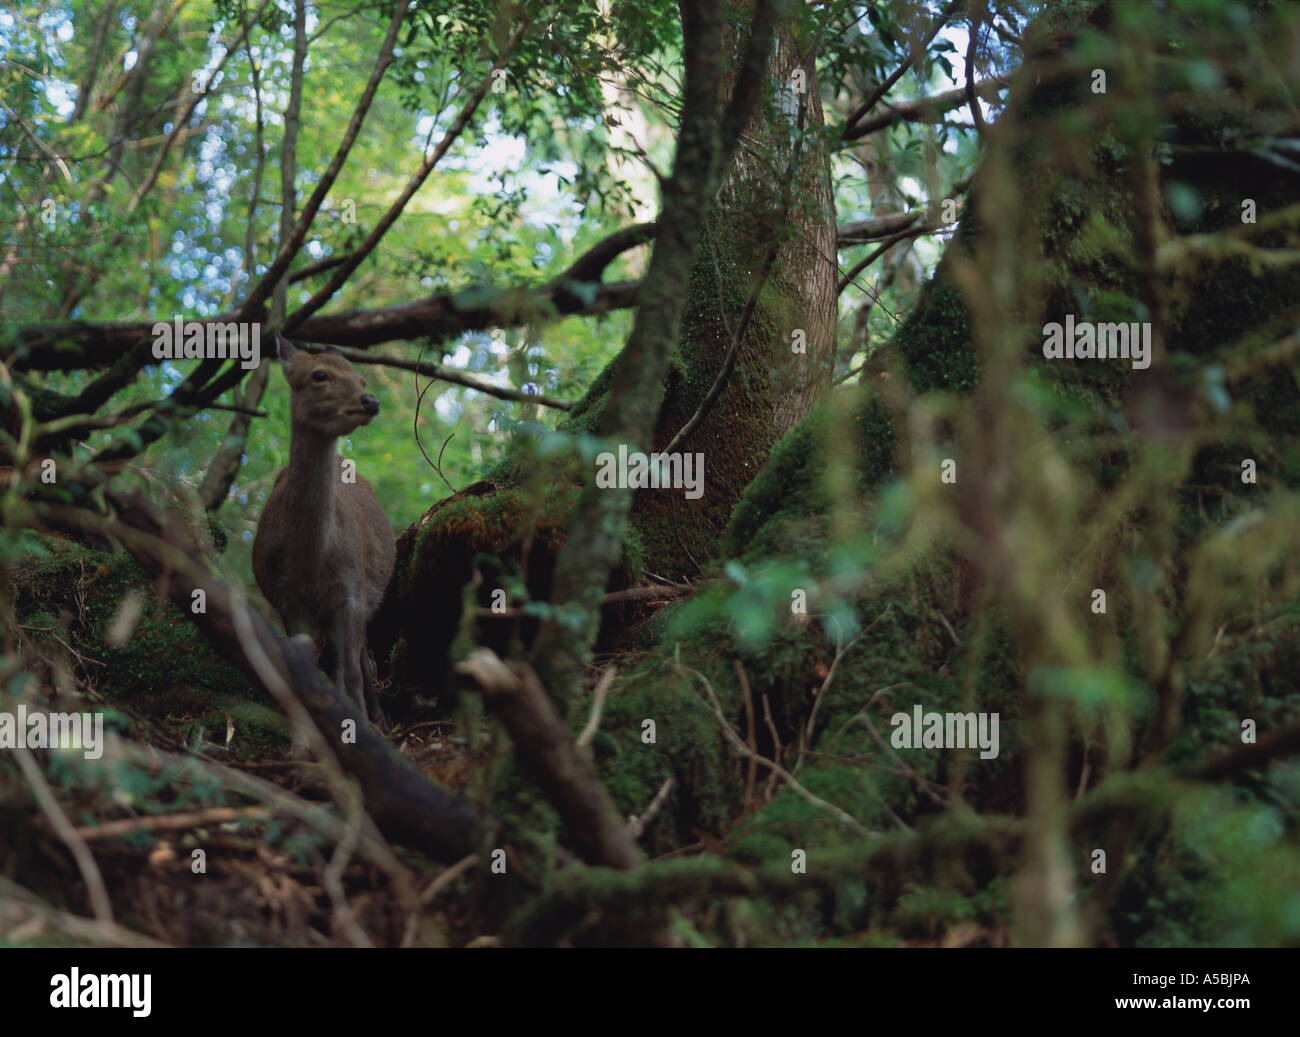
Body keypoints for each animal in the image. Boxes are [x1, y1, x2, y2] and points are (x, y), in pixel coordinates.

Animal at [252, 335, 396, 726]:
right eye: (319, 375)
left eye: (361, 378)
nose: (370, 400)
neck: (312, 561)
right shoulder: (287, 598)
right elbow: (309, 668)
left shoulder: (351, 593)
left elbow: (354, 669)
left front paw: (361, 725)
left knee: (360, 658)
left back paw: (377, 714)